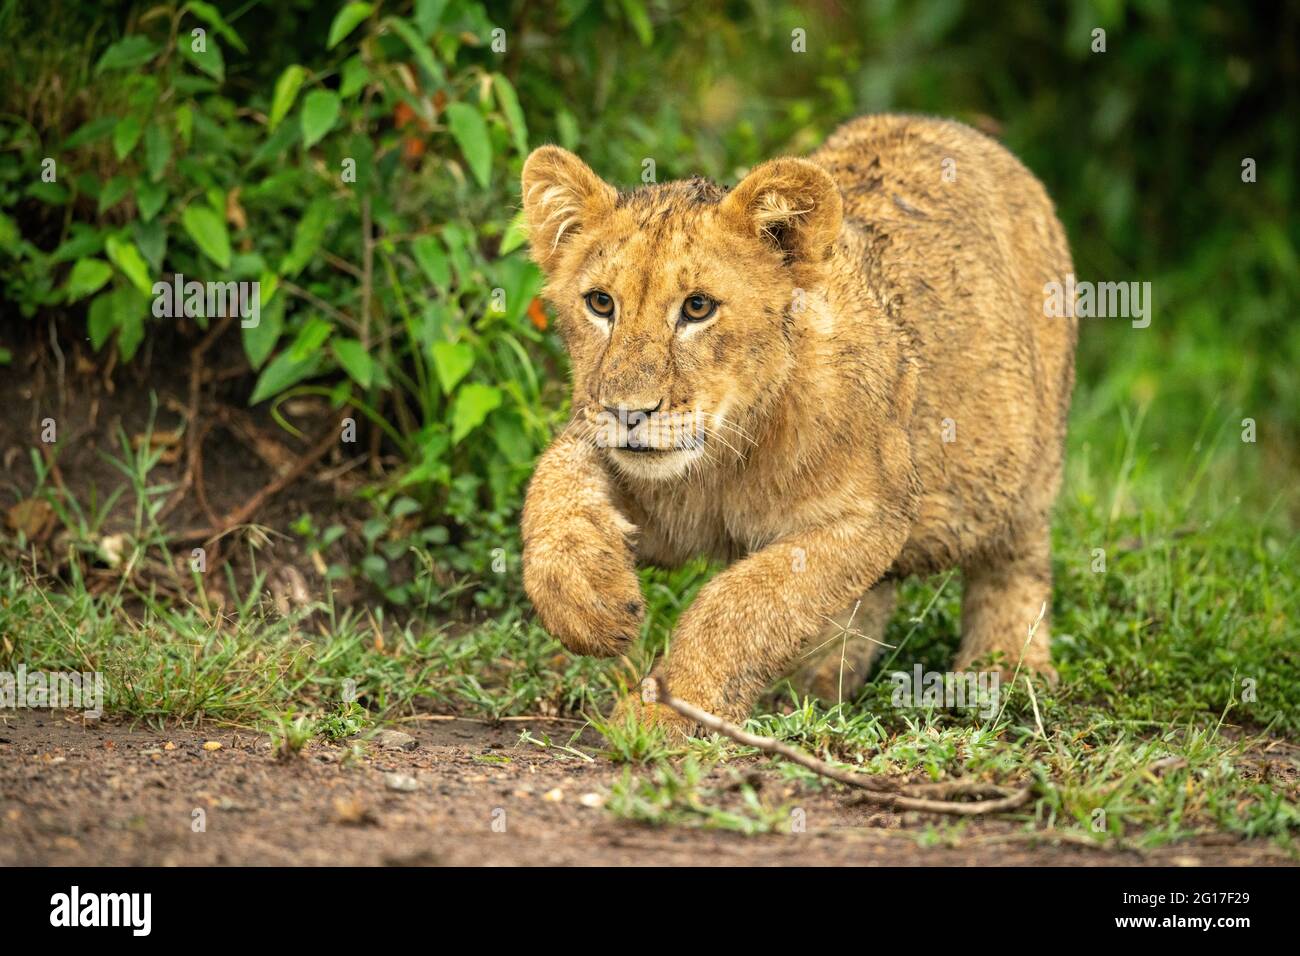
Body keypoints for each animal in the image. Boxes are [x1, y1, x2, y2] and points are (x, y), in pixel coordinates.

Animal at [518, 113, 1077, 737]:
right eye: (600, 303)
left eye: (697, 308)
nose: (628, 412)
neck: (723, 458)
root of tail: (951, 125)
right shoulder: (638, 480)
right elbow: (554, 484)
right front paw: (592, 605)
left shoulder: (872, 515)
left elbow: (742, 603)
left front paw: (665, 714)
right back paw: (820, 685)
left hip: (1031, 469)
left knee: (1016, 563)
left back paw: (1003, 670)